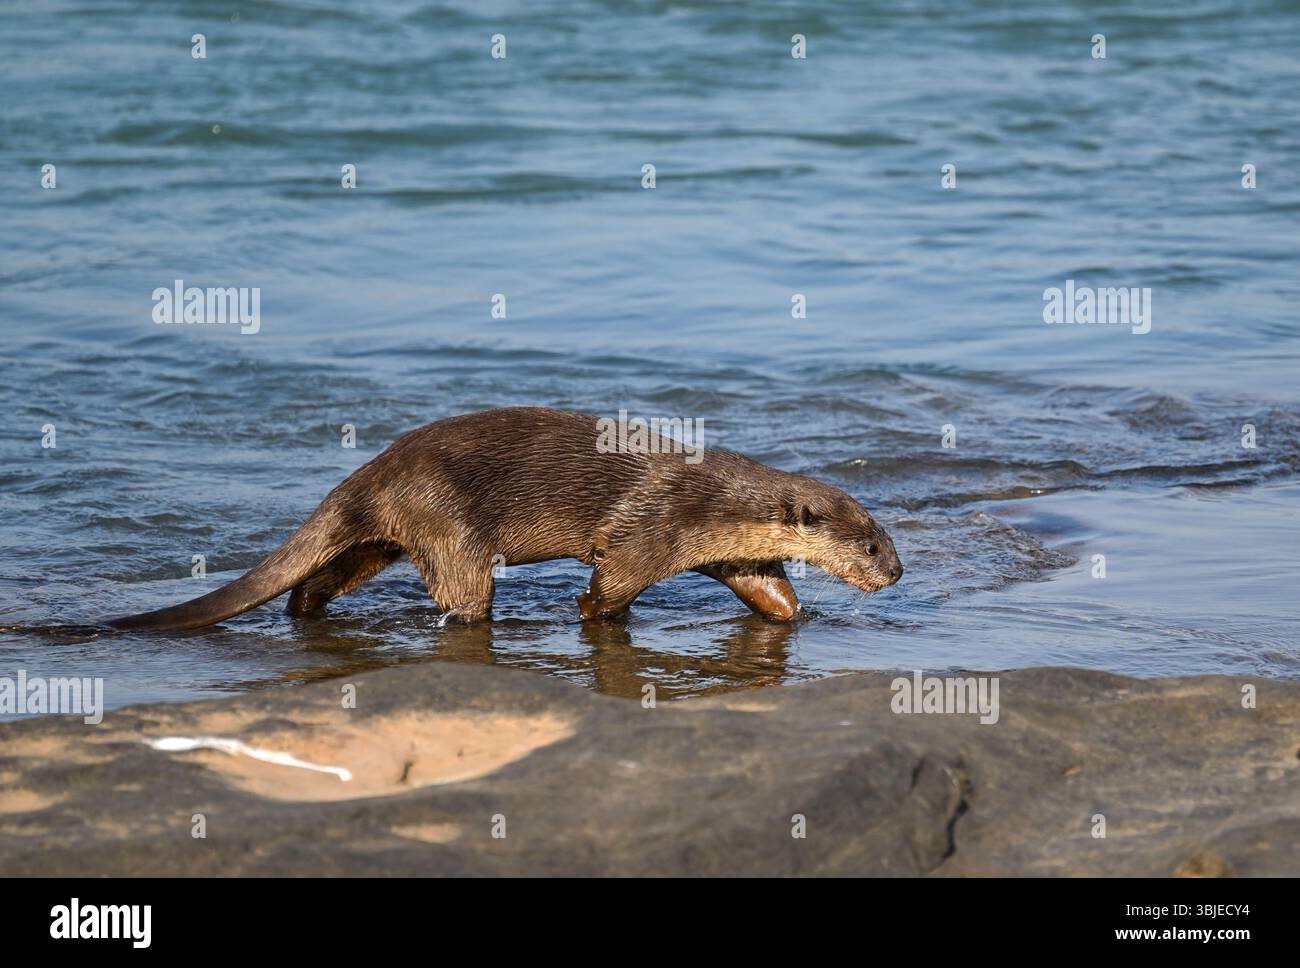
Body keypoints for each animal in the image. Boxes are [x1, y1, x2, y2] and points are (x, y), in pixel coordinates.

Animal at [108, 407, 902, 630]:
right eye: (868, 544)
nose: (896, 571)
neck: (717, 503)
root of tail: (371, 474)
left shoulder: (736, 553)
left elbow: (772, 593)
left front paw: (797, 618)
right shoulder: (651, 533)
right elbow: (609, 586)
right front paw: (594, 614)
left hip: (381, 541)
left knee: (316, 582)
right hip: (446, 523)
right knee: (465, 596)